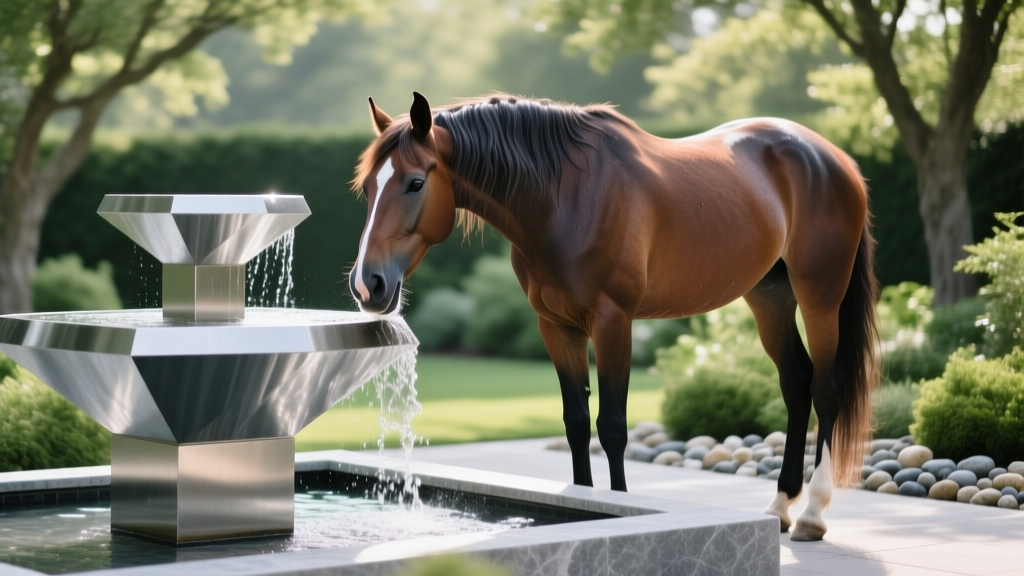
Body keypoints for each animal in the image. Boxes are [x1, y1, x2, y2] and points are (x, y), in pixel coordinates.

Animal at [348, 92, 879, 541]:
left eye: (416, 182)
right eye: (368, 188)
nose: (367, 284)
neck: (565, 196)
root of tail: (835, 158)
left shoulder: (613, 322)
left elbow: (613, 428)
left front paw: (621, 509)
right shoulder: (556, 327)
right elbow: (577, 423)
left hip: (820, 296)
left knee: (826, 388)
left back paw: (812, 515)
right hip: (769, 296)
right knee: (796, 383)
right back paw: (781, 507)